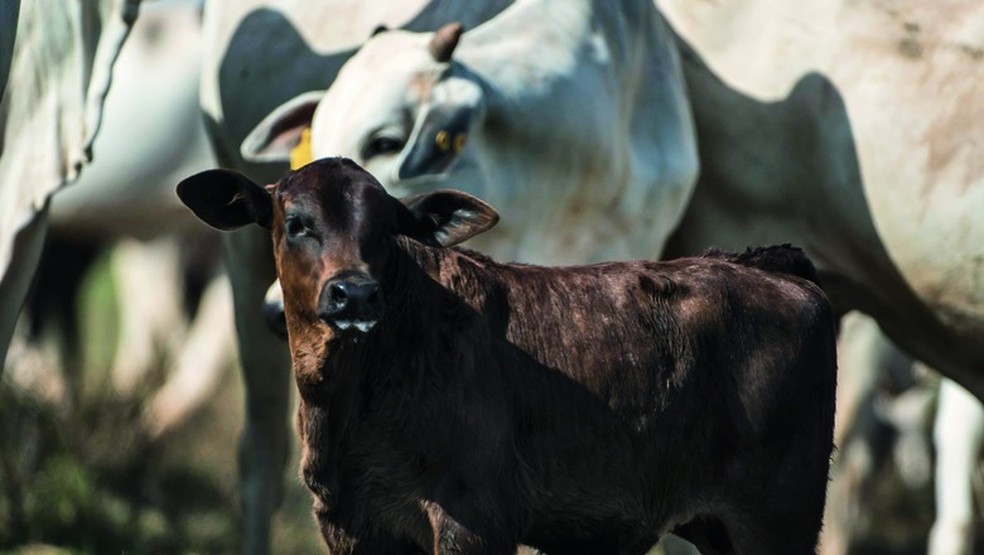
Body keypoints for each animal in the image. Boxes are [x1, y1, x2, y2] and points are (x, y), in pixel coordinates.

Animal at [176, 157, 837, 554]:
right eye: (296, 222)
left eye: (389, 228)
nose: (356, 292)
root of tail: (763, 265)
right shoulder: (348, 522)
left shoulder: (475, 519)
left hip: (775, 518)